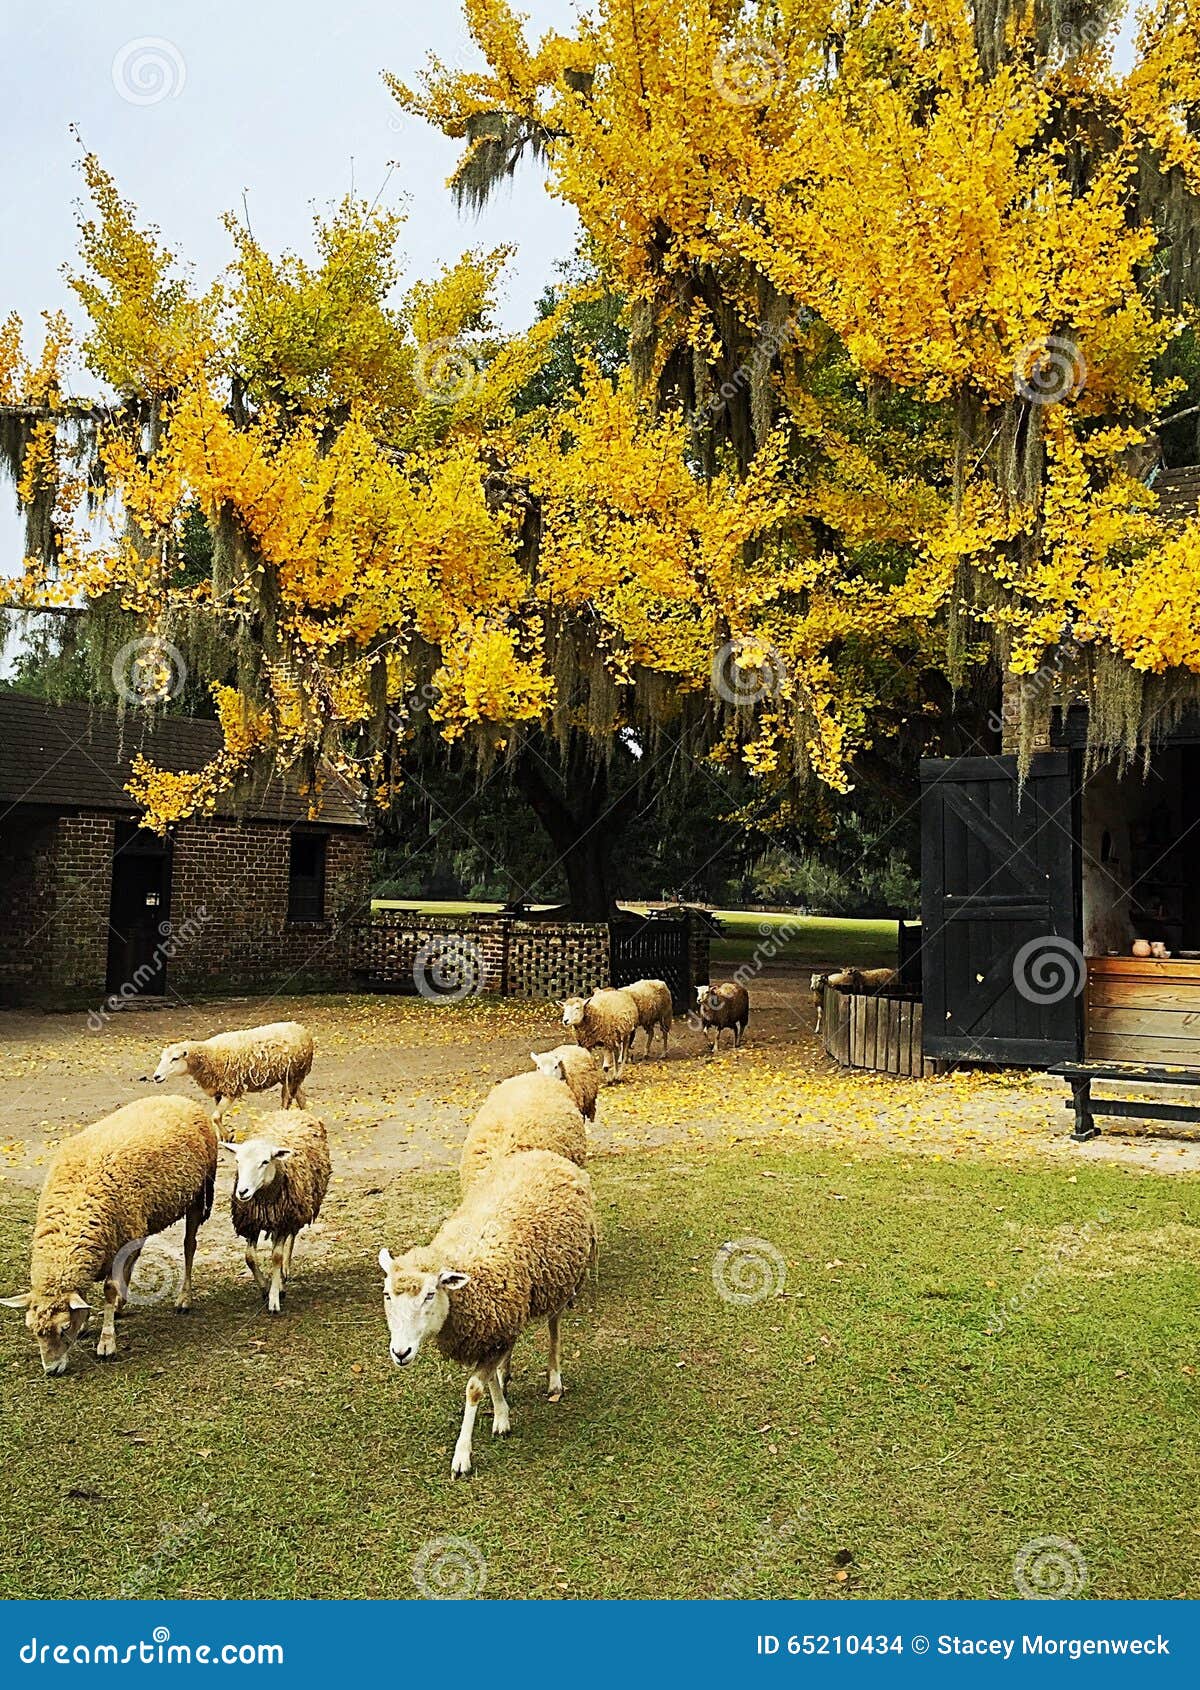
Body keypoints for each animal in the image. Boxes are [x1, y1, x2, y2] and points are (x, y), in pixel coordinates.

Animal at [1, 1098, 216, 1374]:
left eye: (64, 1328)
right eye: (32, 1329)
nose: (52, 1370)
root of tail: (180, 1099)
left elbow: (109, 1289)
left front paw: (106, 1342)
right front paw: (90, 1321)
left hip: (197, 1197)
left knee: (189, 1245)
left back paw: (183, 1299)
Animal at [152, 1020, 314, 1122]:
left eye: (175, 1058)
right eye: (161, 1058)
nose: (156, 1077)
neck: (210, 1055)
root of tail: (302, 1029)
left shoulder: (231, 1089)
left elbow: (215, 1117)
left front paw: (227, 1137)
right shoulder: (218, 1091)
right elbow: (218, 1116)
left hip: (292, 1076)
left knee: (287, 1101)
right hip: (291, 1076)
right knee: (301, 1098)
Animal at [221, 1109, 331, 1314]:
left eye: (265, 1162)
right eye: (237, 1161)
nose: (242, 1192)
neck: (265, 1196)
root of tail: (290, 1111)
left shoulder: (285, 1221)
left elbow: (276, 1256)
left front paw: (274, 1298)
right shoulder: (252, 1223)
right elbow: (250, 1257)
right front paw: (265, 1288)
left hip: (296, 1213)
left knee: (289, 1241)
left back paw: (284, 1274)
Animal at [378, 1147, 596, 1478]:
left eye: (430, 1294)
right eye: (388, 1295)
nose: (401, 1353)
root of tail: (542, 1153)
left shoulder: (498, 1331)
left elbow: (473, 1389)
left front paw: (462, 1455)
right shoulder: (489, 1330)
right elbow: (489, 1376)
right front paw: (502, 1410)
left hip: (561, 1280)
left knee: (554, 1328)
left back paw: (554, 1378)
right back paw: (507, 1372)